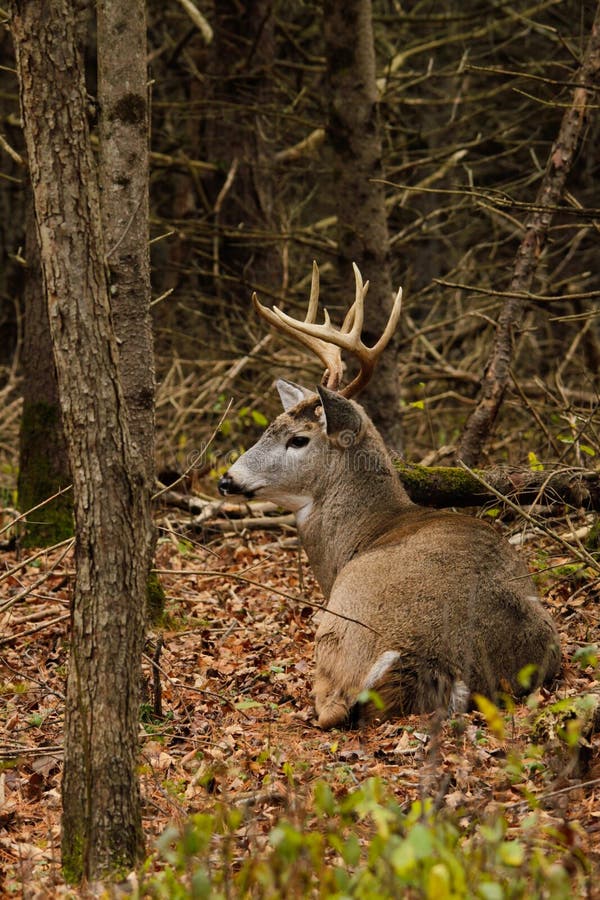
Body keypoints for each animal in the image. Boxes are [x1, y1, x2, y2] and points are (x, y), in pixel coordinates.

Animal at [218, 263, 561, 729]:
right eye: (271, 425)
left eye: (299, 439)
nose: (227, 479)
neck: (368, 528)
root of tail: (433, 658)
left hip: (338, 626)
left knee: (331, 708)